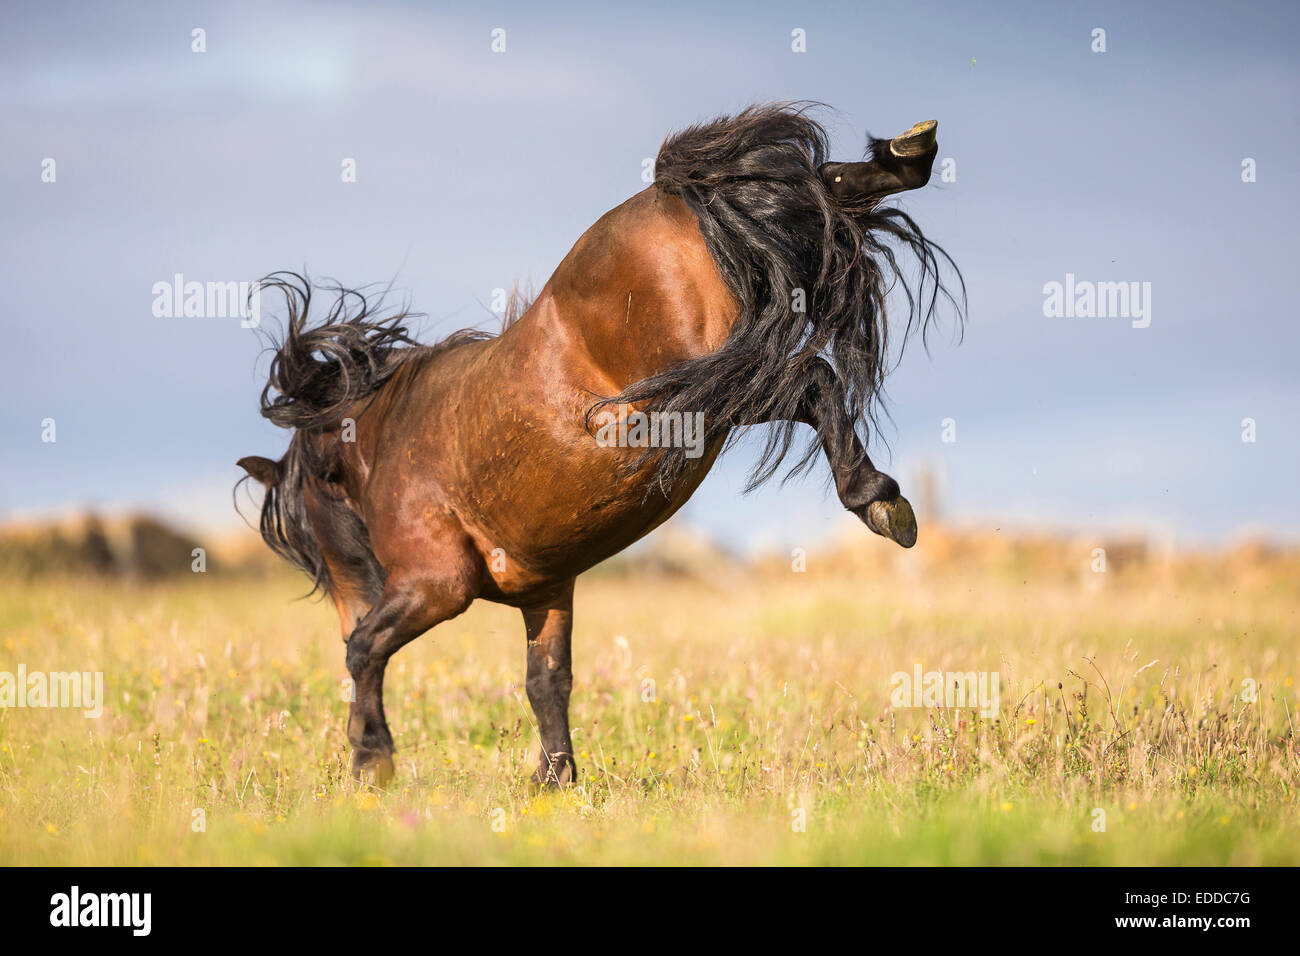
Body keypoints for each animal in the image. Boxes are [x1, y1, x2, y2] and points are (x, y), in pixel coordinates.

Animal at [236, 103, 963, 787]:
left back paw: (879, 500)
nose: (340, 605)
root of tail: (676, 192)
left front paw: (373, 759)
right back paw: (907, 154)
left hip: (707, 392)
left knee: (815, 382)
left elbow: (366, 649)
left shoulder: (436, 584)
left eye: (315, 545)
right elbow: (547, 682)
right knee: (829, 193)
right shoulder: (547, 589)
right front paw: (555, 779)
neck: (388, 438)